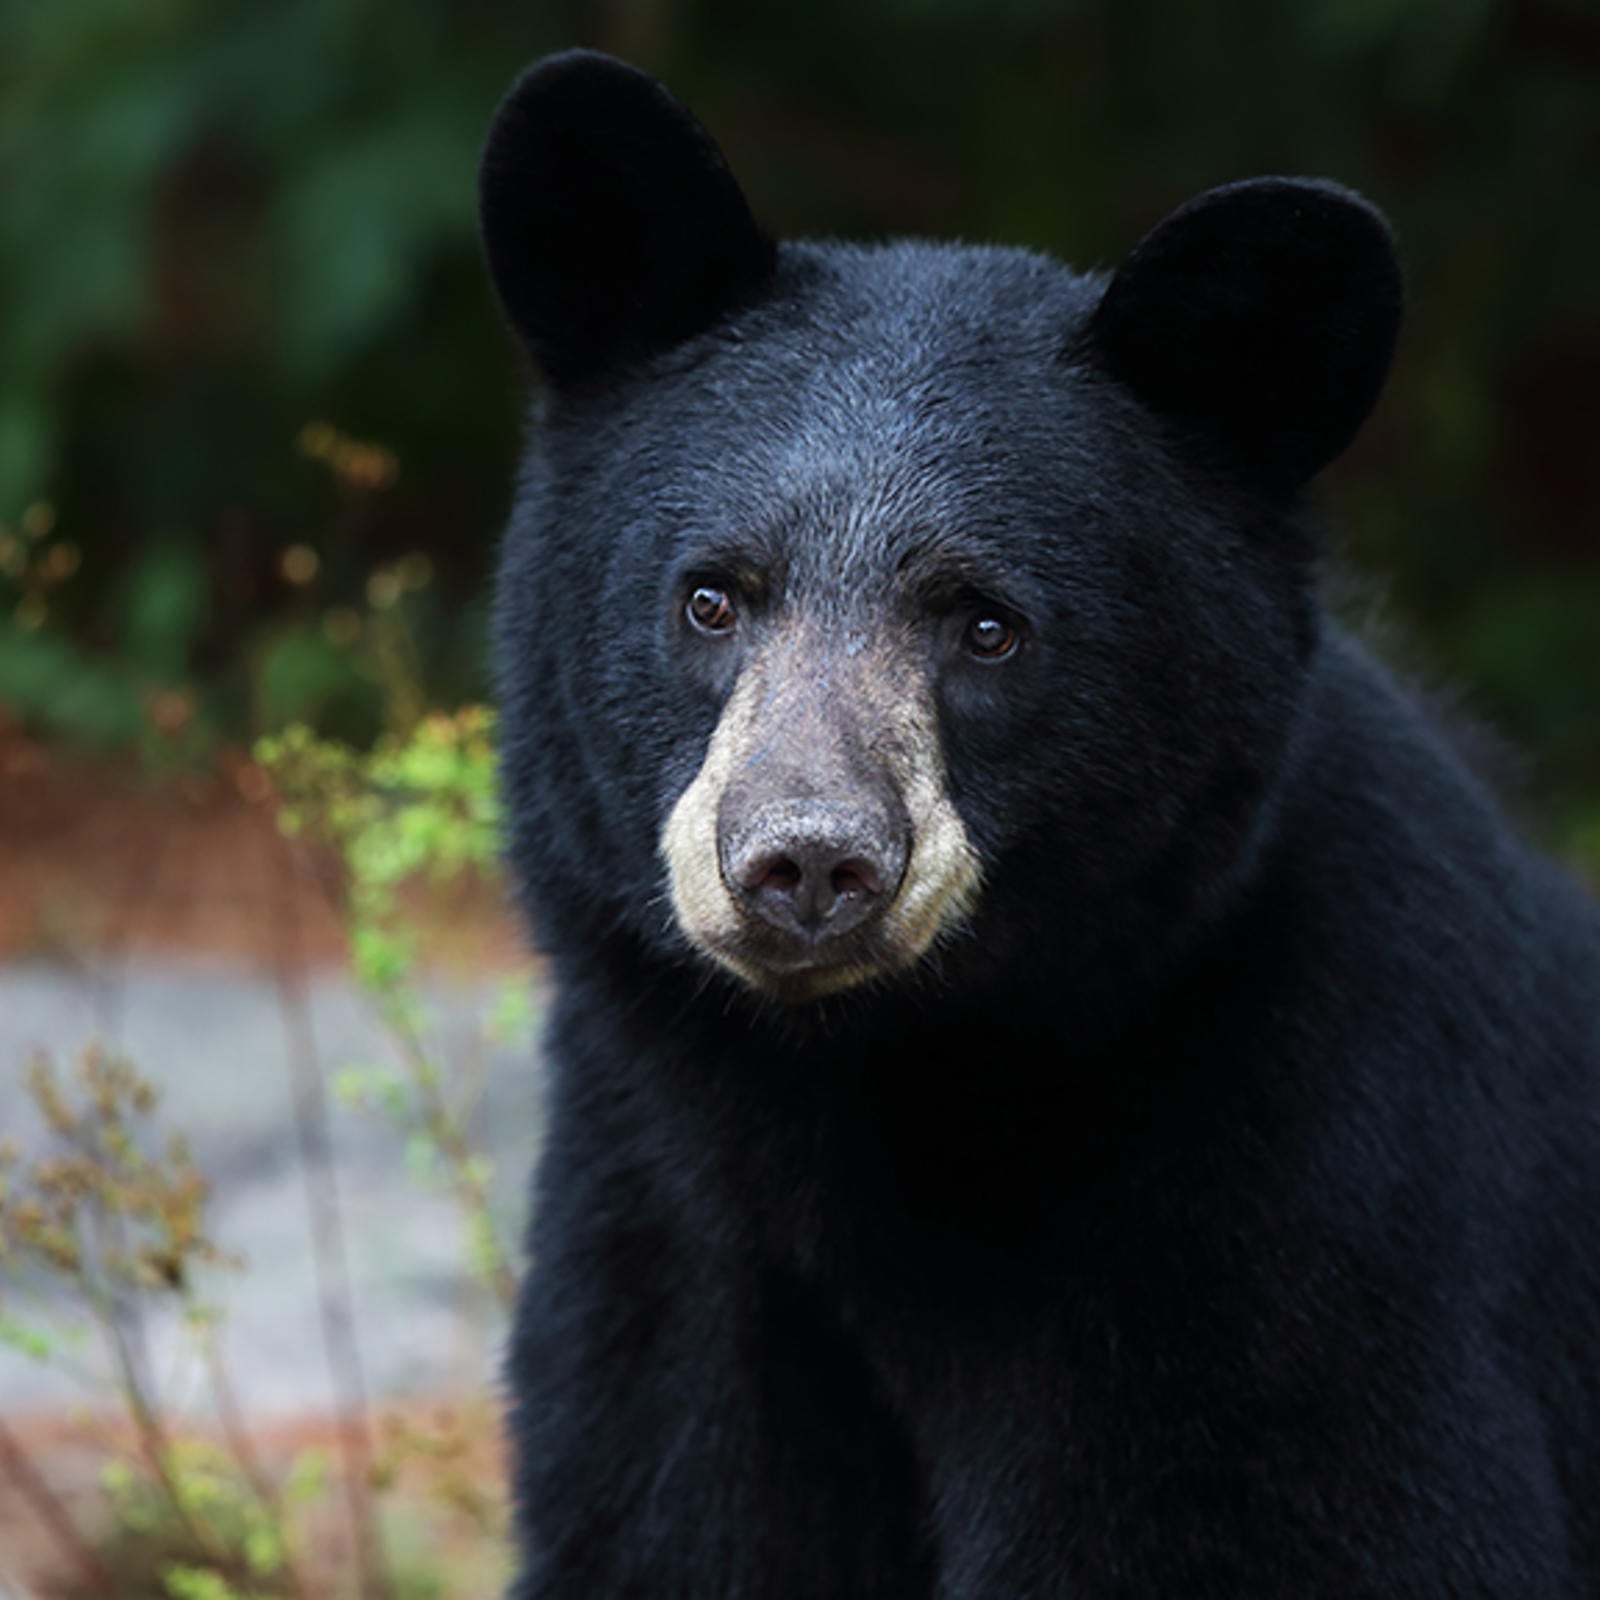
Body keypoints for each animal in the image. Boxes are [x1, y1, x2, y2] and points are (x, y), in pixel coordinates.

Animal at [479, 48, 1600, 1599]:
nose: (807, 862)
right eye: (711, 596)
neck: (879, 1100)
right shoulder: (668, 1263)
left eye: (987, 626)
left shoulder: (1295, 1213)